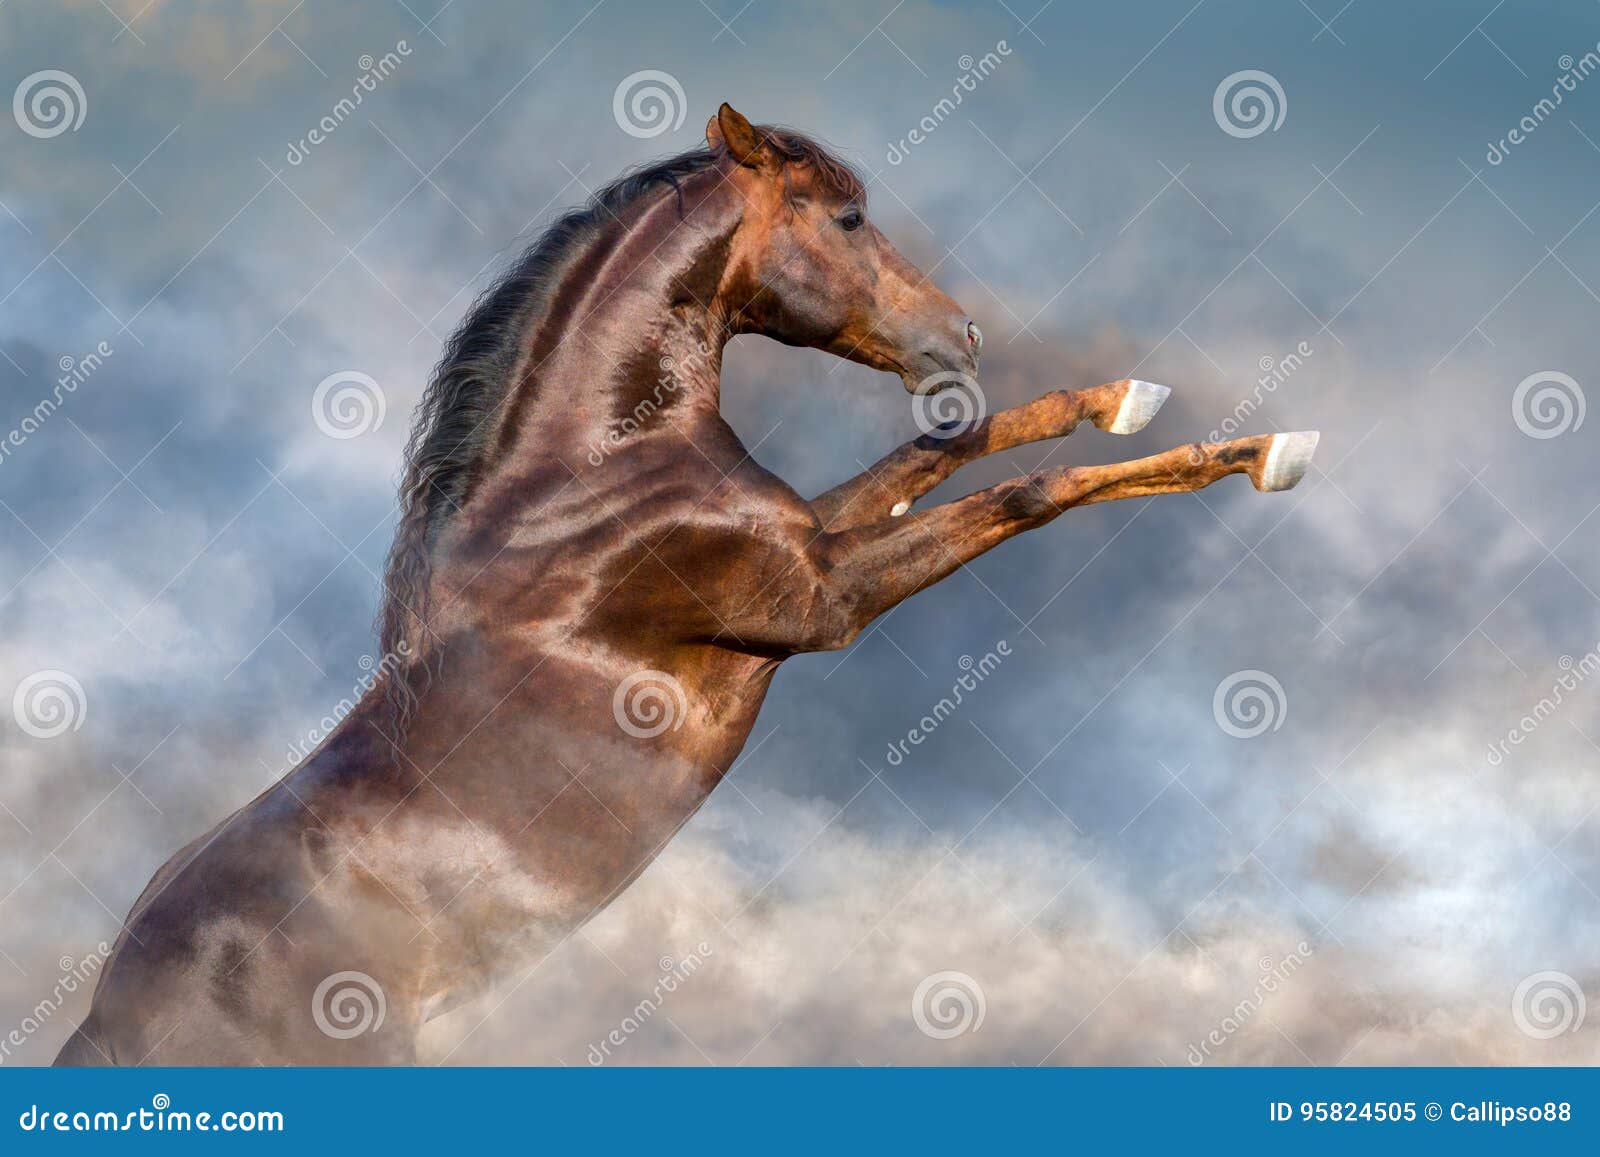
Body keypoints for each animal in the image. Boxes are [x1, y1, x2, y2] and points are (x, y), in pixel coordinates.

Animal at [55, 104, 1318, 1065]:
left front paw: (1124, 394)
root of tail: (109, 1020)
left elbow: (952, 446)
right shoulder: (820, 604)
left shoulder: (816, 538)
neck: (592, 475)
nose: (957, 335)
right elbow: (1025, 493)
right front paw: (1263, 452)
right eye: (847, 217)